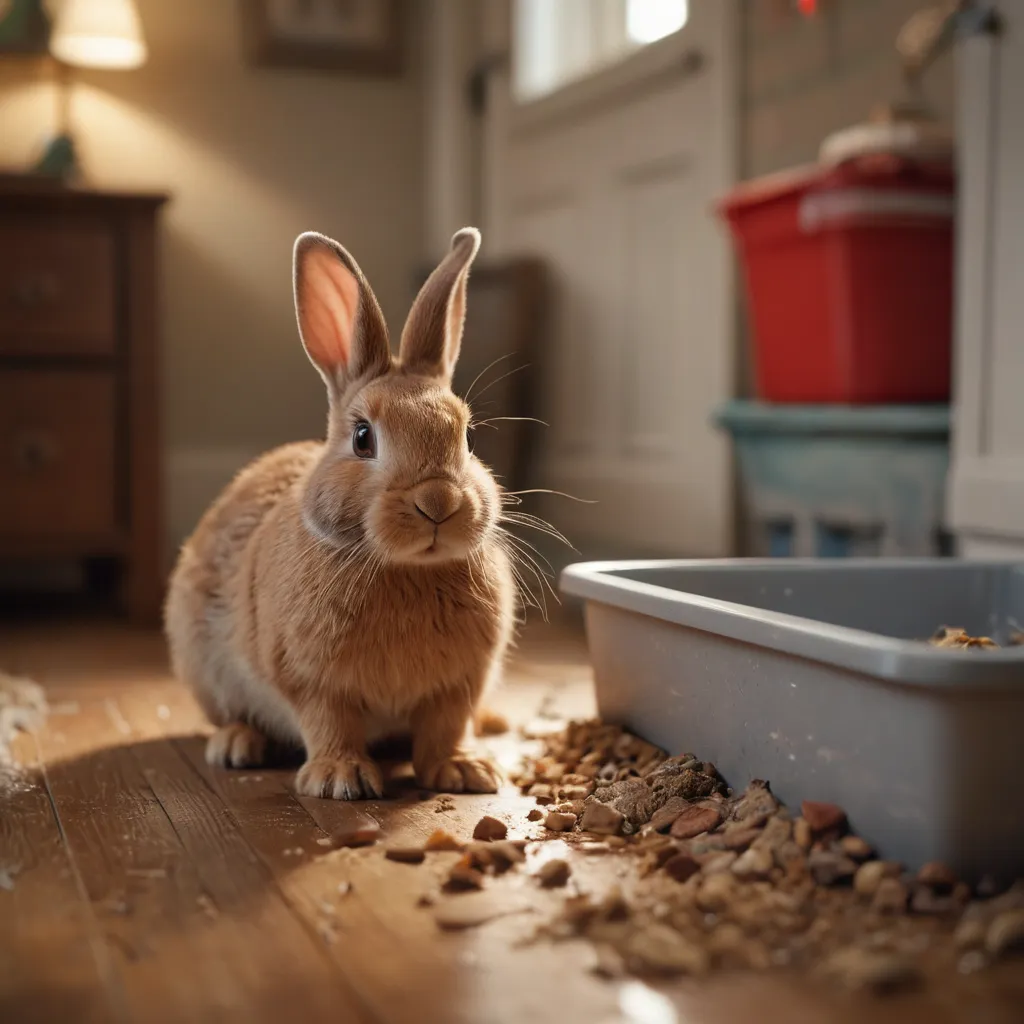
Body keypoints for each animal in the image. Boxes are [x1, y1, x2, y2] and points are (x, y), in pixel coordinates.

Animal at [164, 227, 517, 799]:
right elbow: (329, 722)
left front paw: (465, 772)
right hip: (204, 668)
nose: (438, 502)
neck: (404, 568)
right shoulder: (309, 681)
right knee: (232, 715)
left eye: (467, 437)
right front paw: (340, 779)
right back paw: (237, 746)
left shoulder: (460, 685)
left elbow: (445, 727)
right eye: (362, 438)